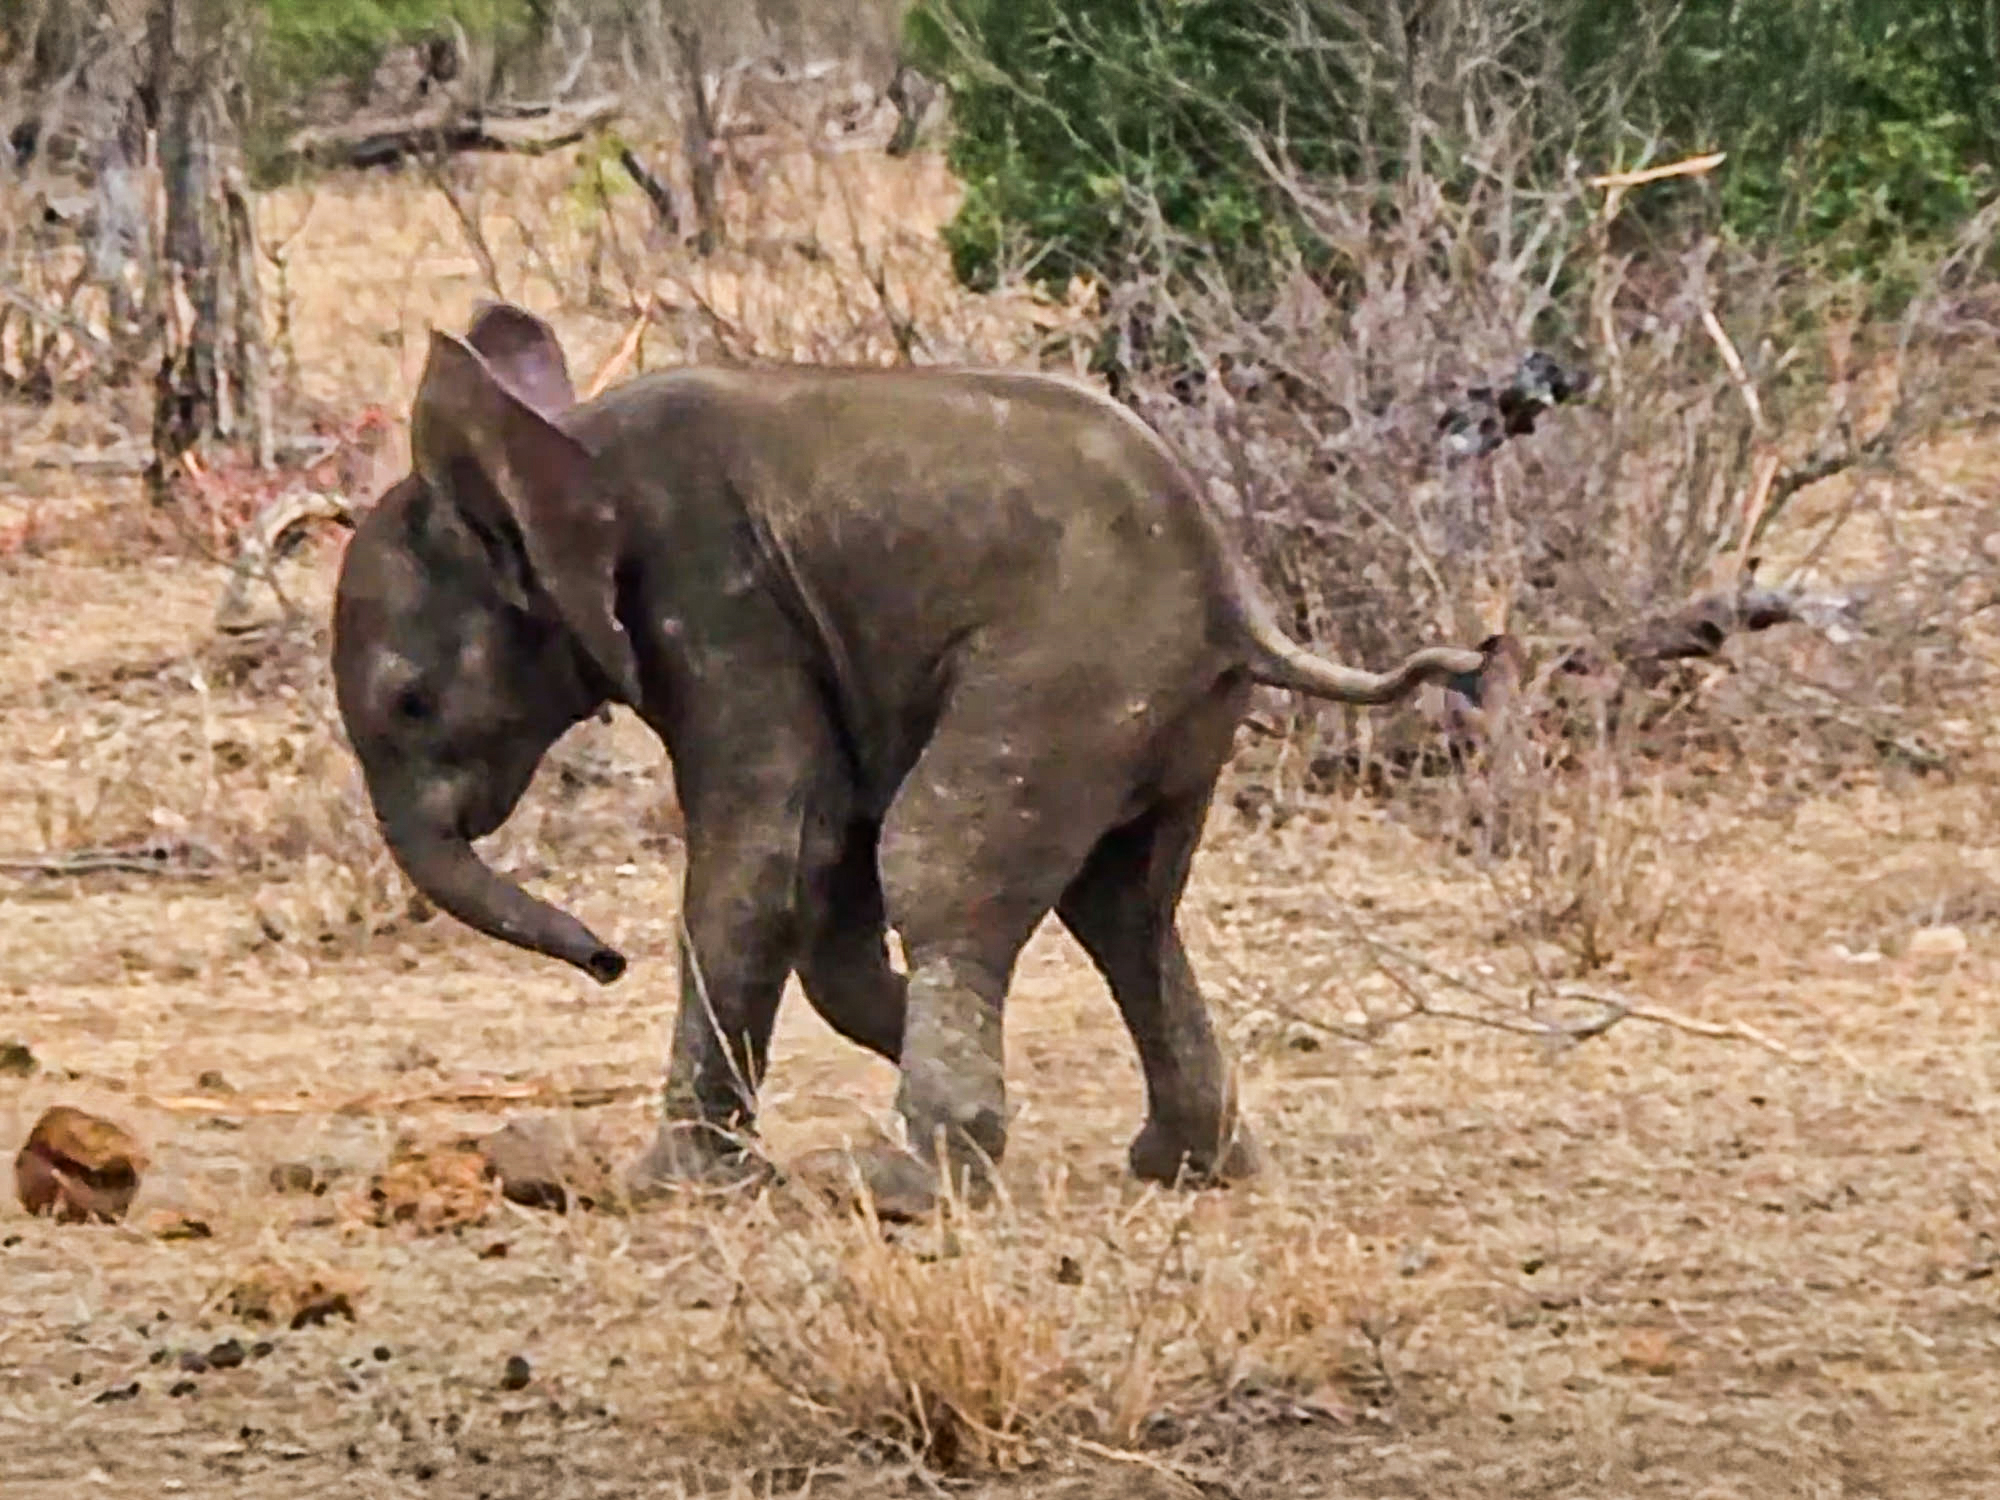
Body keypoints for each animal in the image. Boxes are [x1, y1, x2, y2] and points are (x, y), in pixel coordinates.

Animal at [330, 300, 1488, 1214]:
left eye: (411, 702)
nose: (606, 961)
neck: (566, 451)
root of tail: (1237, 600)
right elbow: (824, 881)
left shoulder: (718, 600)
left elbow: (766, 859)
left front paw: (673, 1188)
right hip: (1162, 714)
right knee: (1127, 914)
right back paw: (1183, 1164)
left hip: (1066, 671)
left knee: (945, 864)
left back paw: (908, 1188)